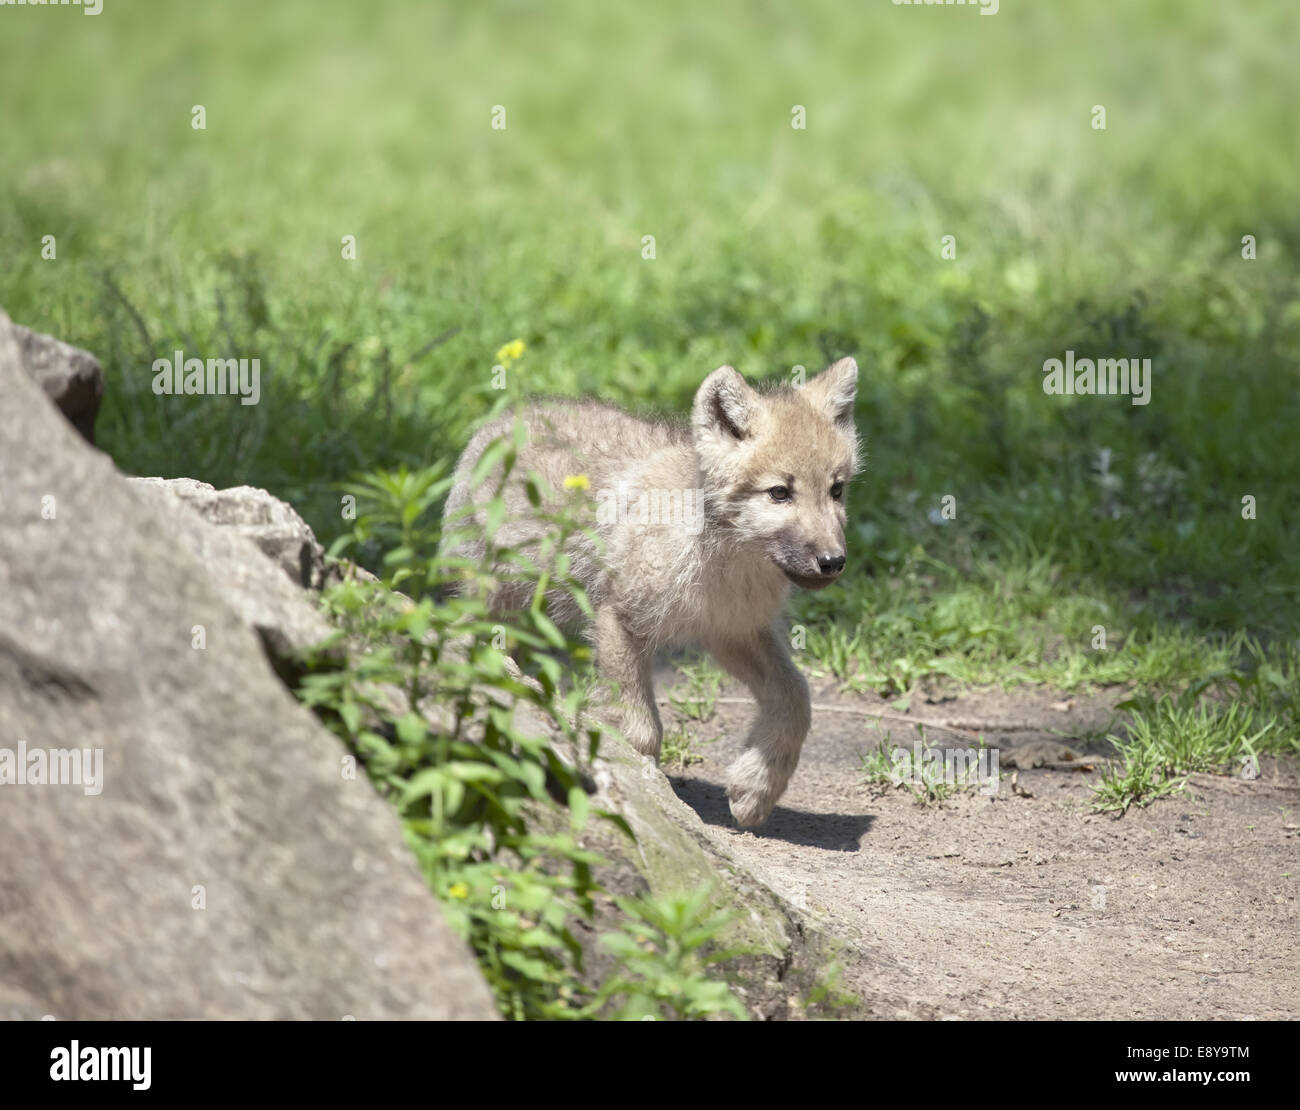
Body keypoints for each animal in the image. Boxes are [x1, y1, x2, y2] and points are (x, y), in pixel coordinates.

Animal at [443, 358, 860, 827]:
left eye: (837, 489)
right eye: (779, 493)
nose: (833, 561)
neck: (724, 560)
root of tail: (496, 424)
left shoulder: (732, 632)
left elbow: (796, 698)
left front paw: (756, 789)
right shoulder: (618, 619)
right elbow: (640, 731)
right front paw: (649, 794)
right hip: (496, 597)